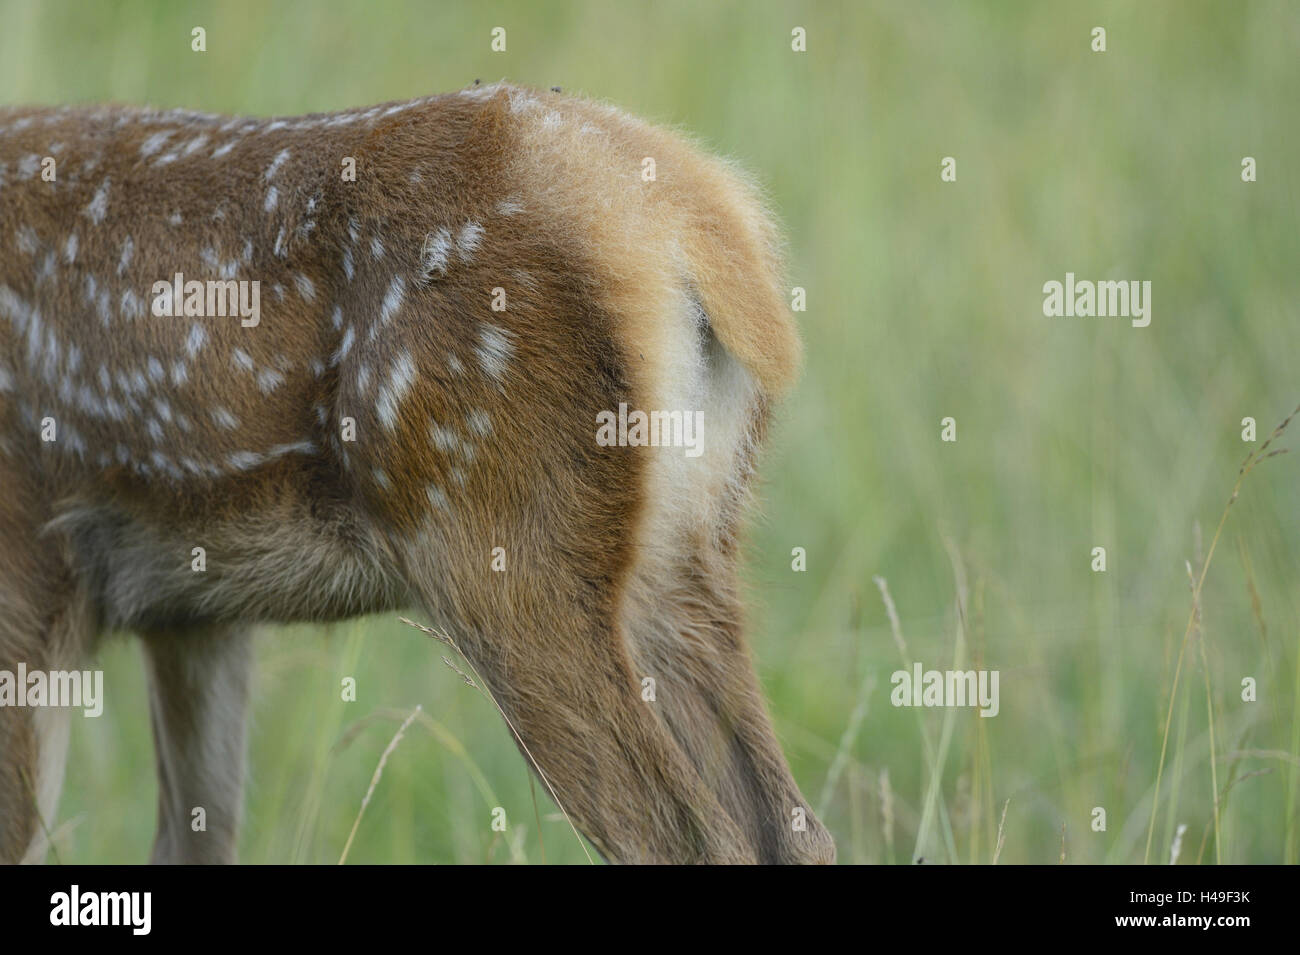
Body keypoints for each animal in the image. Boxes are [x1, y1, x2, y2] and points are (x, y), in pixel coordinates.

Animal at [0, 81, 835, 865]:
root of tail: (696, 214)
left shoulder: (29, 566)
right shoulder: (192, 615)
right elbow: (199, 832)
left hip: (505, 551)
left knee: (689, 836)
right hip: (685, 560)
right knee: (792, 830)